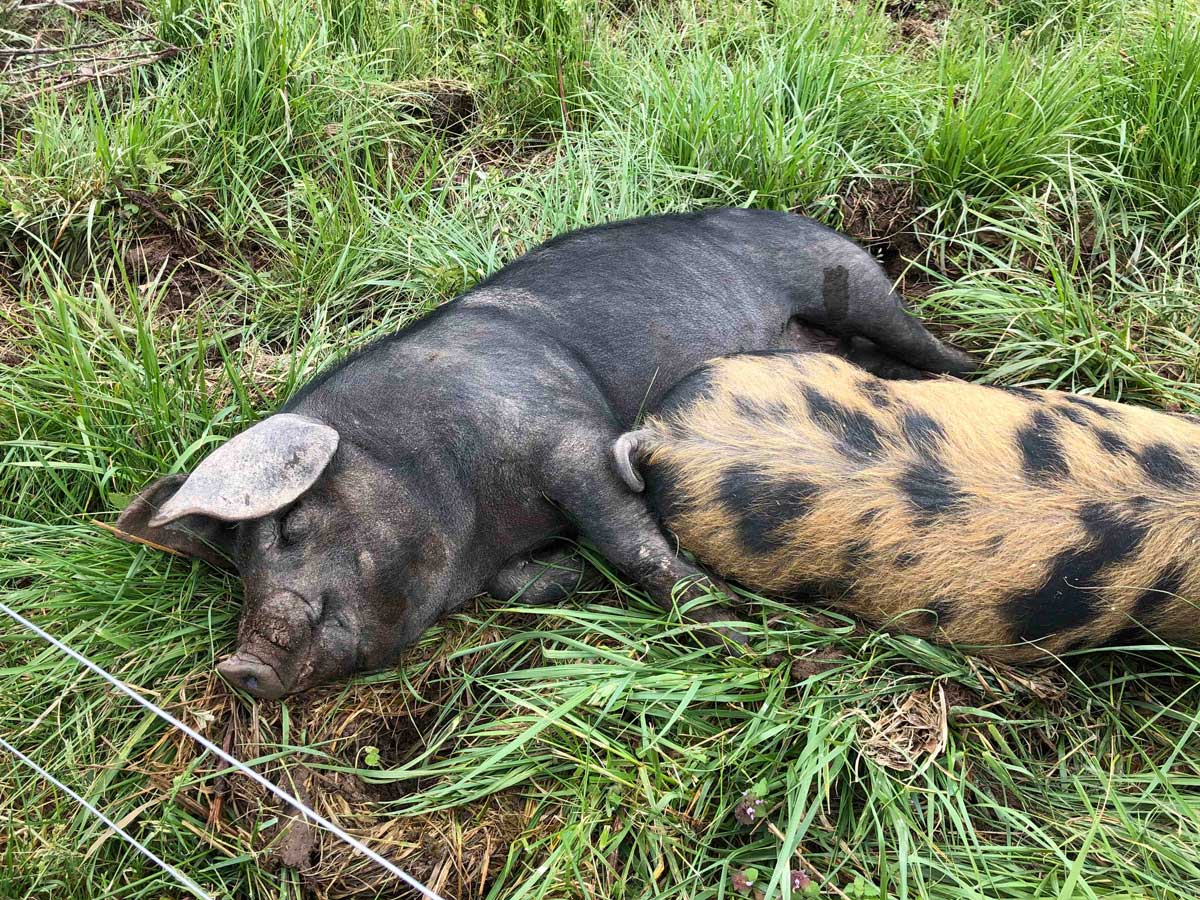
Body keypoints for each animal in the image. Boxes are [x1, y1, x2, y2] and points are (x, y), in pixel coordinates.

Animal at [112, 209, 975, 698]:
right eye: (241, 572)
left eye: (289, 528)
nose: (240, 668)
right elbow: (529, 583)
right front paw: (568, 575)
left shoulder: (568, 437)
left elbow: (633, 546)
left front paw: (747, 641)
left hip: (852, 283)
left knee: (936, 350)